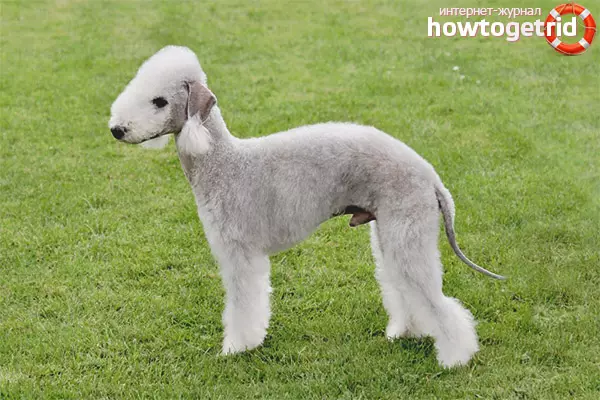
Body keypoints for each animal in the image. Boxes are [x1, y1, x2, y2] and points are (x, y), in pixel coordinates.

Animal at [109, 45, 506, 368]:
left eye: (160, 101)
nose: (117, 129)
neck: (222, 161)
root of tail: (432, 177)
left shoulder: (240, 252)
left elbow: (243, 305)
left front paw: (238, 347)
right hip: (391, 232)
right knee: (404, 287)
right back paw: (407, 332)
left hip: (407, 228)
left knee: (436, 300)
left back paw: (456, 358)